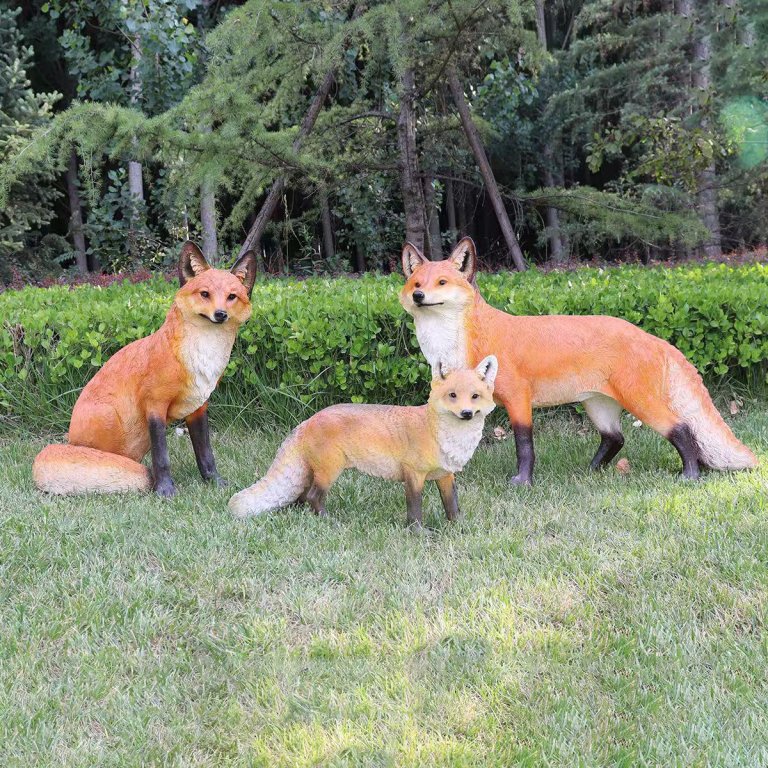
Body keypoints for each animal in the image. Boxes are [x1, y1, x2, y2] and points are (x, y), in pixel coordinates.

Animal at [33, 241, 257, 497]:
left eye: (232, 297)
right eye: (205, 294)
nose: (220, 314)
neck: (201, 359)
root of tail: (69, 440)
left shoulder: (198, 407)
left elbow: (206, 453)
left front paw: (214, 482)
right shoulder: (154, 405)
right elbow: (162, 458)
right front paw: (165, 491)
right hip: (111, 419)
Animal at [228, 356, 499, 528]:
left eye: (474, 396)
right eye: (452, 395)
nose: (466, 413)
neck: (442, 437)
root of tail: (308, 420)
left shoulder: (445, 475)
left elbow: (452, 505)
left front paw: (459, 528)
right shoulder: (413, 474)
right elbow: (414, 509)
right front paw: (418, 533)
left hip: (313, 473)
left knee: (301, 498)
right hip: (329, 472)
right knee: (313, 497)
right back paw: (329, 522)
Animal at [400, 237, 757, 484]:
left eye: (442, 283)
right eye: (416, 283)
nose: (418, 296)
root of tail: (652, 338)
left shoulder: (518, 398)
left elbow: (524, 445)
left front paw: (522, 482)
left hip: (641, 402)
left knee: (682, 430)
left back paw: (690, 475)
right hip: (598, 406)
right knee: (616, 438)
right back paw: (590, 471)